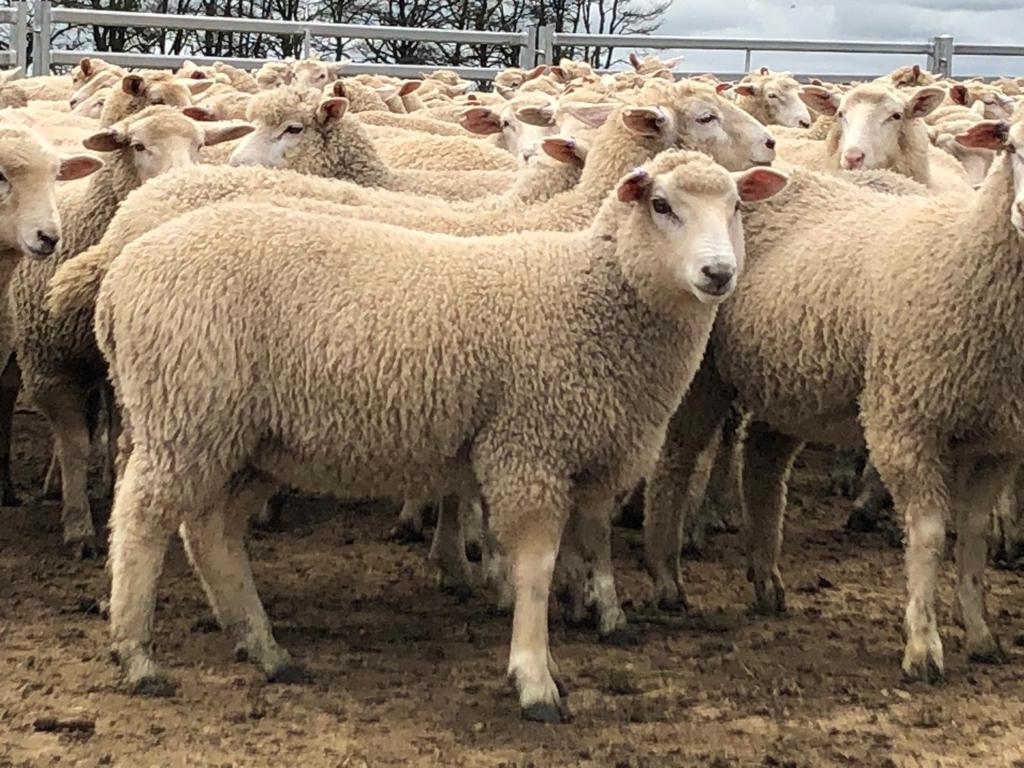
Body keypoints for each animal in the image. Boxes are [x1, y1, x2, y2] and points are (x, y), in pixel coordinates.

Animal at [7, 107, 253, 556]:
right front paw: (79, 528)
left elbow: (118, 438)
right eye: (138, 146)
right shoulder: (51, 366)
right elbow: (75, 445)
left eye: (200, 144)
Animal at [92, 148, 787, 719]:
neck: (592, 295)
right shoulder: (526, 446)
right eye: (661, 205)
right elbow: (535, 565)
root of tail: (120, 275)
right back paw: (137, 654)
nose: (718, 274)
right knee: (143, 522)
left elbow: (590, 543)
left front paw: (595, 619)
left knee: (213, 531)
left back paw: (264, 648)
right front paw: (534, 678)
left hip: (248, 440)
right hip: (185, 417)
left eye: (736, 206)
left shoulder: (594, 450)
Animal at [645, 116, 1024, 685]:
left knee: (764, 464)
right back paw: (667, 577)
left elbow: (974, 537)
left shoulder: (998, 444)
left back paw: (766, 579)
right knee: (675, 463)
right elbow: (929, 536)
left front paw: (981, 634)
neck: (962, 252)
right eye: (1013, 148)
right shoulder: (904, 421)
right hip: (705, 374)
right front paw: (923, 647)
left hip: (788, 379)